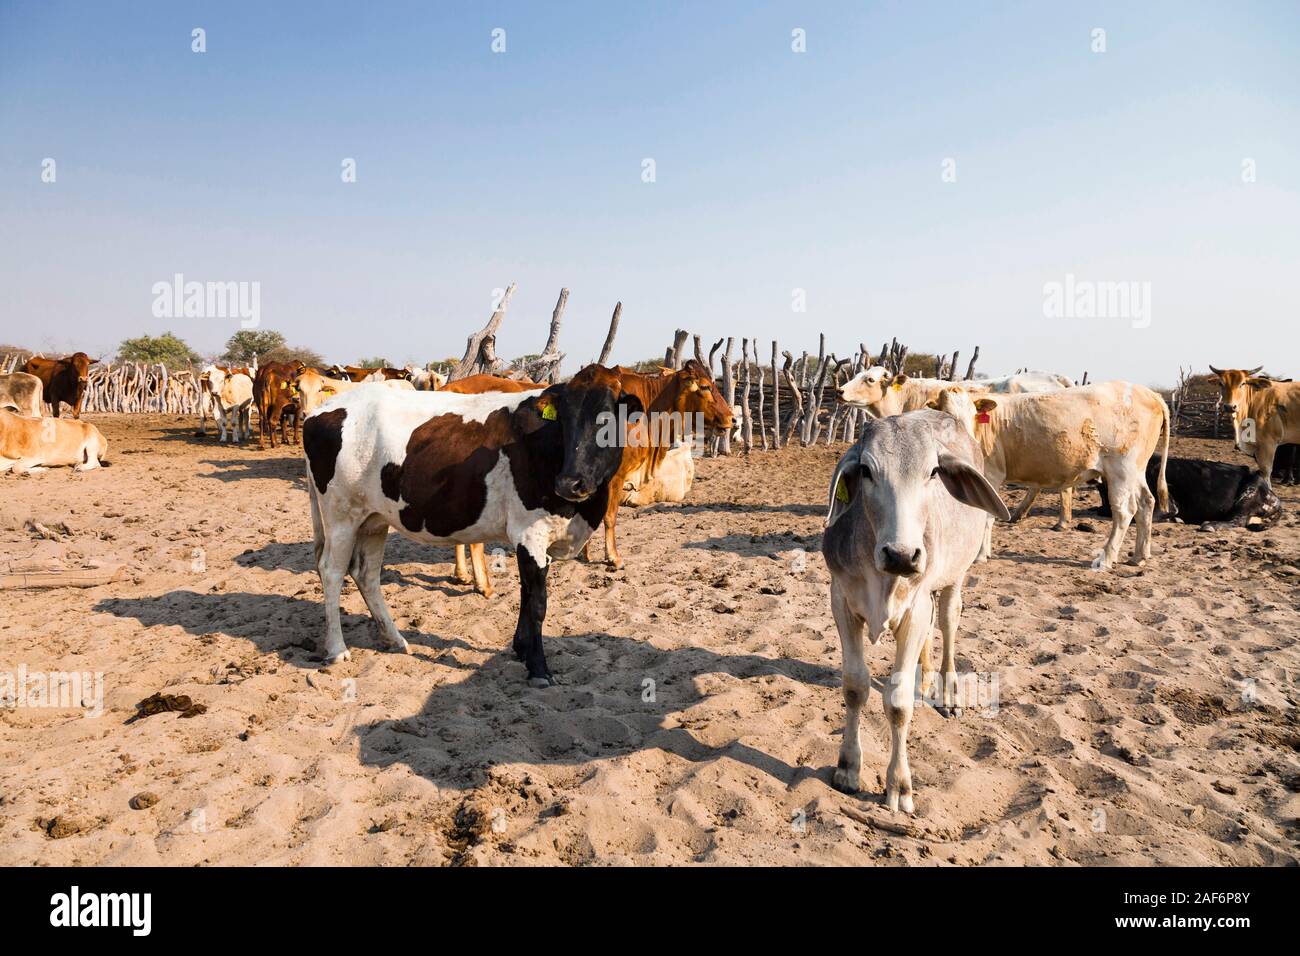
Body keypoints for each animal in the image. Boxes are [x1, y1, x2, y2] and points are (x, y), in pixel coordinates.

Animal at [299, 361, 634, 686]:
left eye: (608, 419)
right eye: (563, 418)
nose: (569, 483)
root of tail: (320, 410)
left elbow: (525, 594)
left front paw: (521, 649)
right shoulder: (530, 533)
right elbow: (537, 603)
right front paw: (538, 668)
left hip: (373, 519)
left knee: (366, 574)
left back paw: (395, 639)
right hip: (341, 516)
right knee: (331, 571)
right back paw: (337, 649)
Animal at [821, 408, 1013, 811]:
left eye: (933, 471)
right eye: (866, 470)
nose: (901, 554)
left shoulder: (914, 609)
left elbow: (897, 703)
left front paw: (899, 785)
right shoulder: (841, 601)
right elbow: (855, 687)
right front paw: (848, 768)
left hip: (956, 575)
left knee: (949, 621)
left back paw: (948, 692)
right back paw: (922, 679)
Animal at [930, 382, 1175, 567]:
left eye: (971, 415)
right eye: (946, 417)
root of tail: (1150, 393)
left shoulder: (991, 475)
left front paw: (979, 555)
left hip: (1121, 470)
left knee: (1124, 511)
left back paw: (1106, 558)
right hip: (1136, 471)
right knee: (1146, 503)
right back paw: (1139, 556)